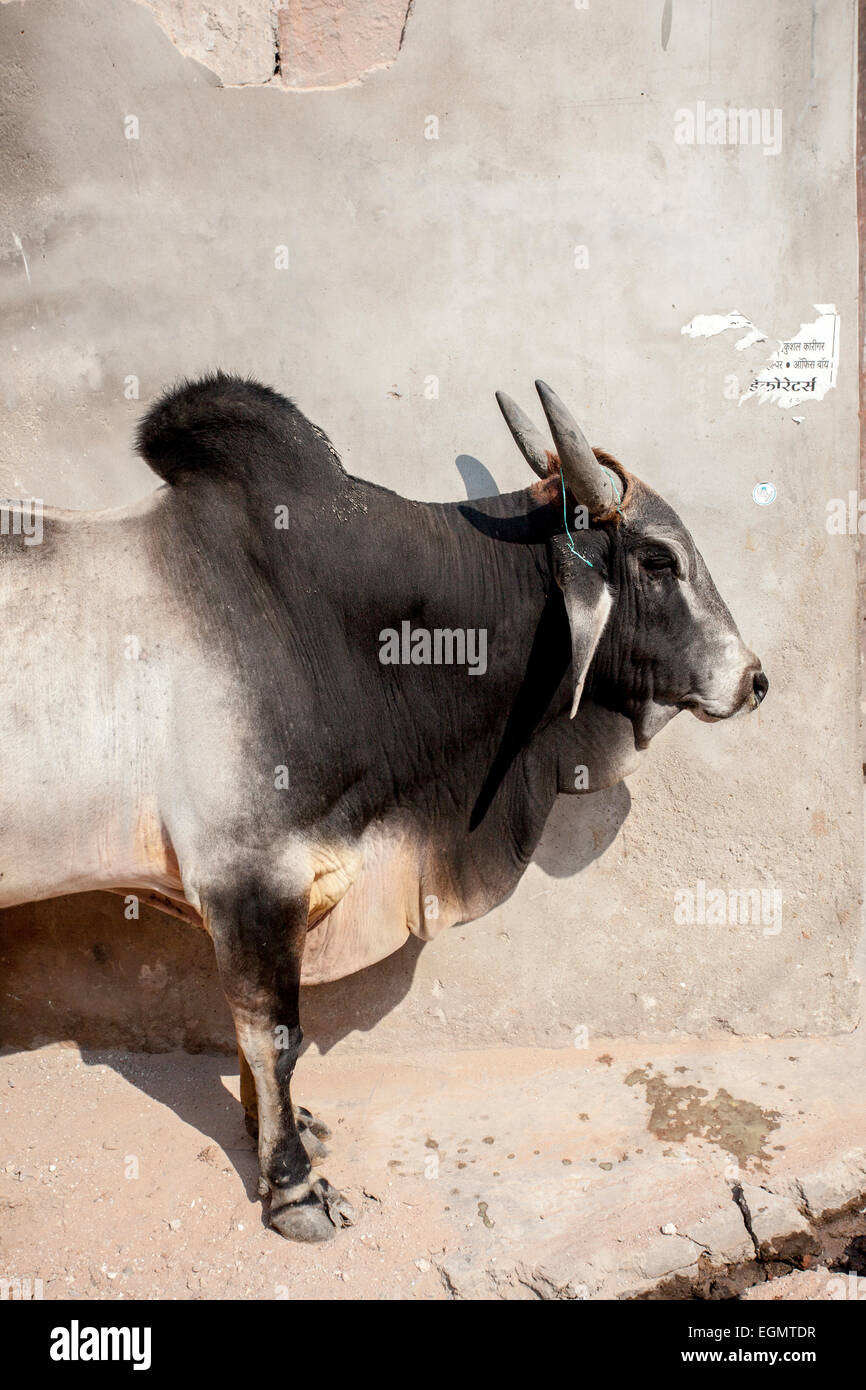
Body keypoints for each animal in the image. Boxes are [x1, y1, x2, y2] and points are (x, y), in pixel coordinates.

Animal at [0, 374, 767, 1242]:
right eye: (658, 559)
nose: (754, 678)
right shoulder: (249, 878)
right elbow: (273, 1034)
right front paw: (292, 1188)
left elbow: (256, 1034)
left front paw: (277, 1130)